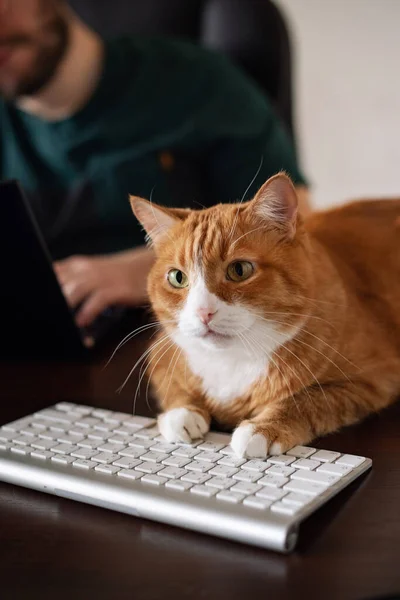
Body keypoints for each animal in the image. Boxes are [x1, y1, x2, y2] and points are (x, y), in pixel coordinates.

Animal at [130, 175, 400, 460]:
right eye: (177, 277)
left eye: (239, 270)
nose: (204, 312)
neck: (233, 360)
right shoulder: (161, 354)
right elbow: (175, 389)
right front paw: (181, 414)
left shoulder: (373, 378)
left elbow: (309, 399)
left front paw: (264, 428)